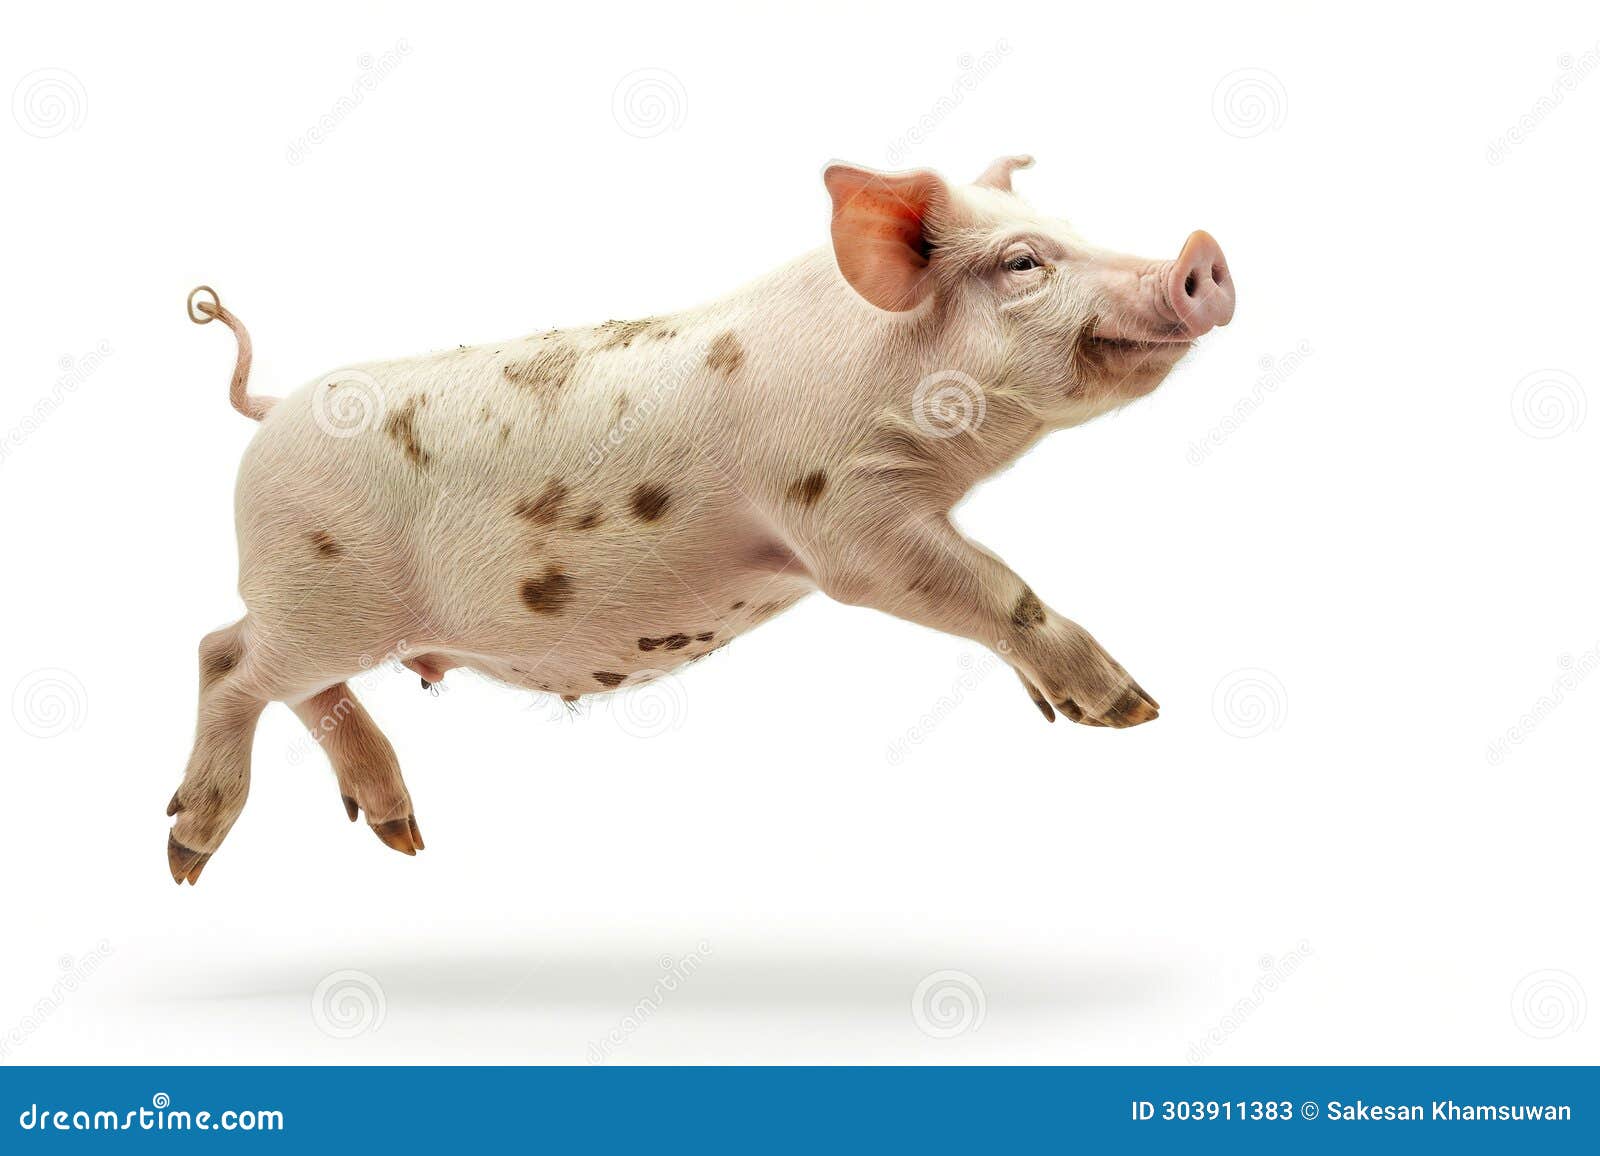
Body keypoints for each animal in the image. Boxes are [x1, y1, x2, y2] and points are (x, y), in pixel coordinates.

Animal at [168, 154, 1235, 883]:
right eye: (1022, 262)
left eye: (1071, 227)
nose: (1202, 253)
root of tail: (271, 411)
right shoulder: (840, 518)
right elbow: (996, 588)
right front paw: (1134, 711)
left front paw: (1082, 712)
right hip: (318, 590)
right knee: (224, 657)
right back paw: (188, 852)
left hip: (329, 612)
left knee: (291, 681)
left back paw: (404, 838)